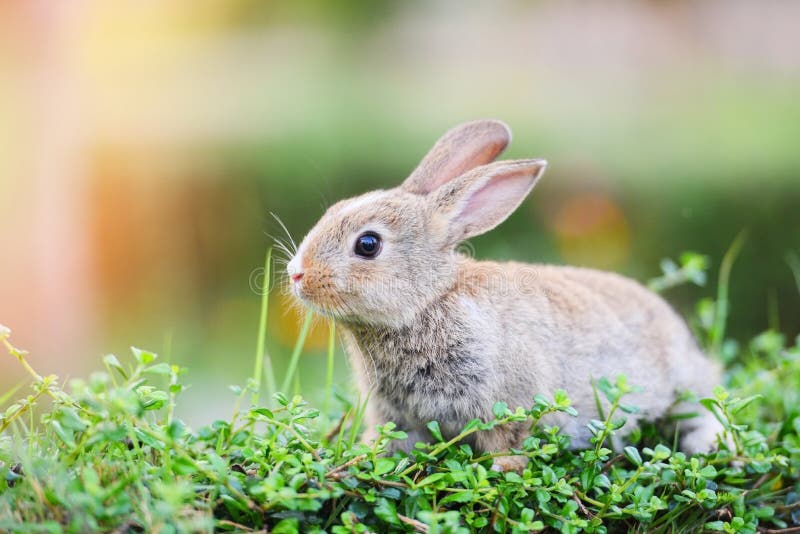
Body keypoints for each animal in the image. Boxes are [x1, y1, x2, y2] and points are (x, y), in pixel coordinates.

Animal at [286, 119, 725, 471]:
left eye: (368, 244)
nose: (296, 273)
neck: (429, 301)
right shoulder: (394, 414)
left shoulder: (510, 401)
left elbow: (508, 441)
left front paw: (503, 469)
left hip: (682, 385)